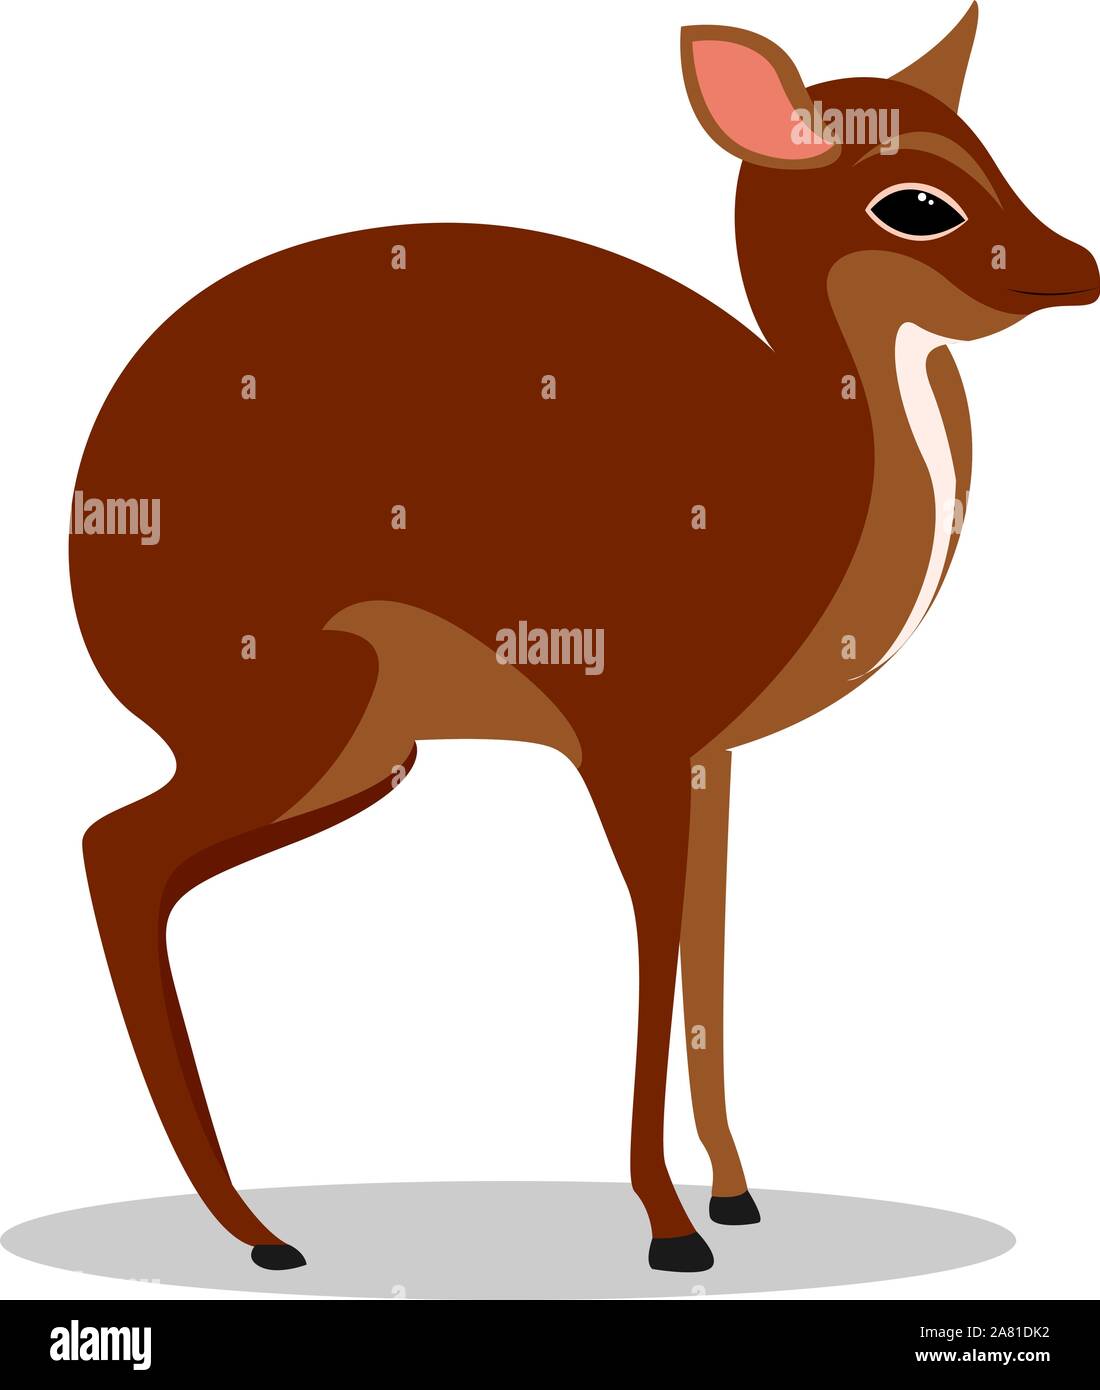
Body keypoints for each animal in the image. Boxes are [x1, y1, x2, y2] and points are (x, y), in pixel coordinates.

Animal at [70, 4, 1096, 1276]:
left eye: (990, 153)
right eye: (914, 202)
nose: (1080, 268)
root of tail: (80, 519)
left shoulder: (710, 757)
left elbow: (707, 953)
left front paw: (736, 1195)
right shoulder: (628, 737)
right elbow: (655, 948)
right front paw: (669, 1229)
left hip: (363, 751)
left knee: (127, 857)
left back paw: (255, 1227)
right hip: (299, 710)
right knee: (114, 852)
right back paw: (259, 1234)